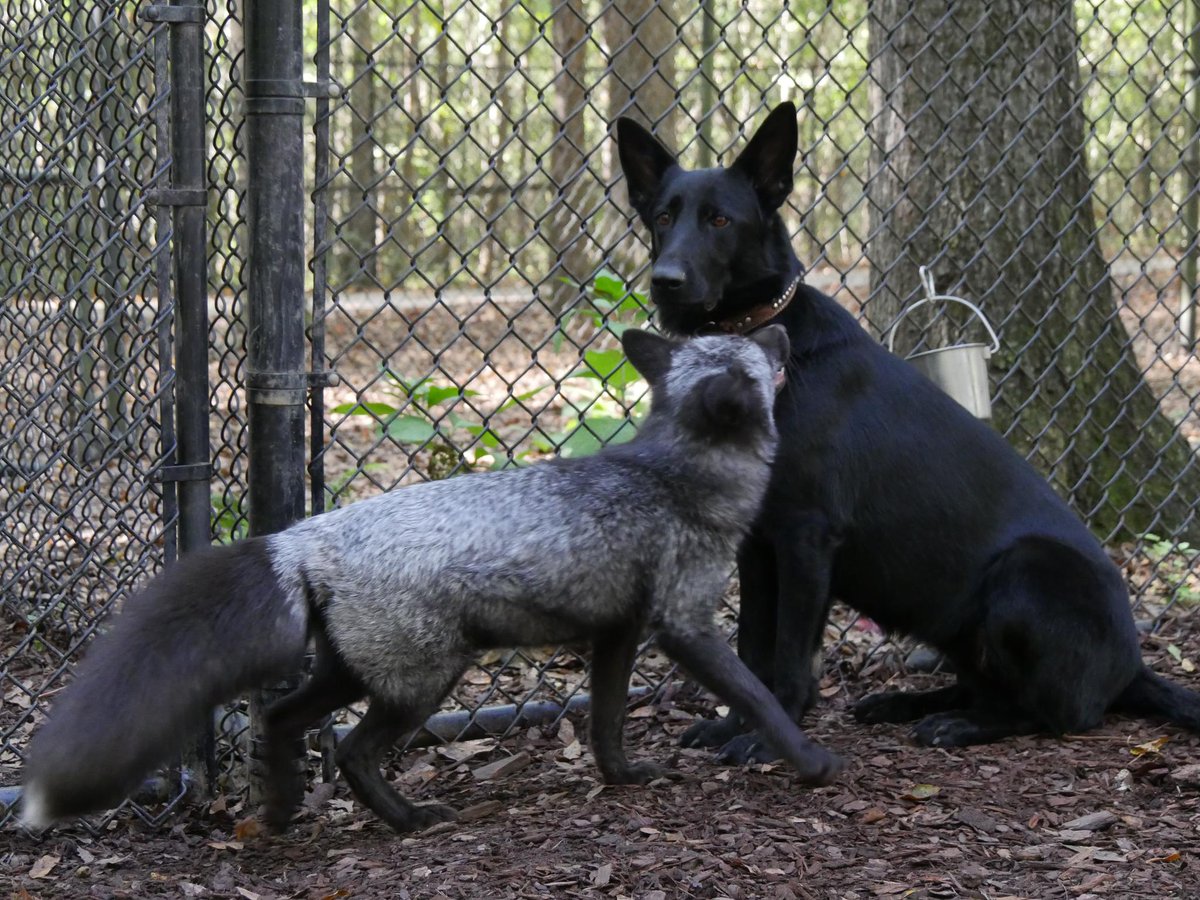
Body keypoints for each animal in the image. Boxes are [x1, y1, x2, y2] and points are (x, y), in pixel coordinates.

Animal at [21, 326, 843, 835]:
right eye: (761, 360)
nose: (784, 328)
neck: (674, 475)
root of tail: (301, 538)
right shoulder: (684, 625)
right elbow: (759, 695)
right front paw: (809, 762)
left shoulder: (617, 632)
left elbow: (606, 721)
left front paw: (624, 777)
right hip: (423, 682)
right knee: (352, 750)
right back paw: (409, 821)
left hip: (357, 671)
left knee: (280, 718)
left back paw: (283, 812)